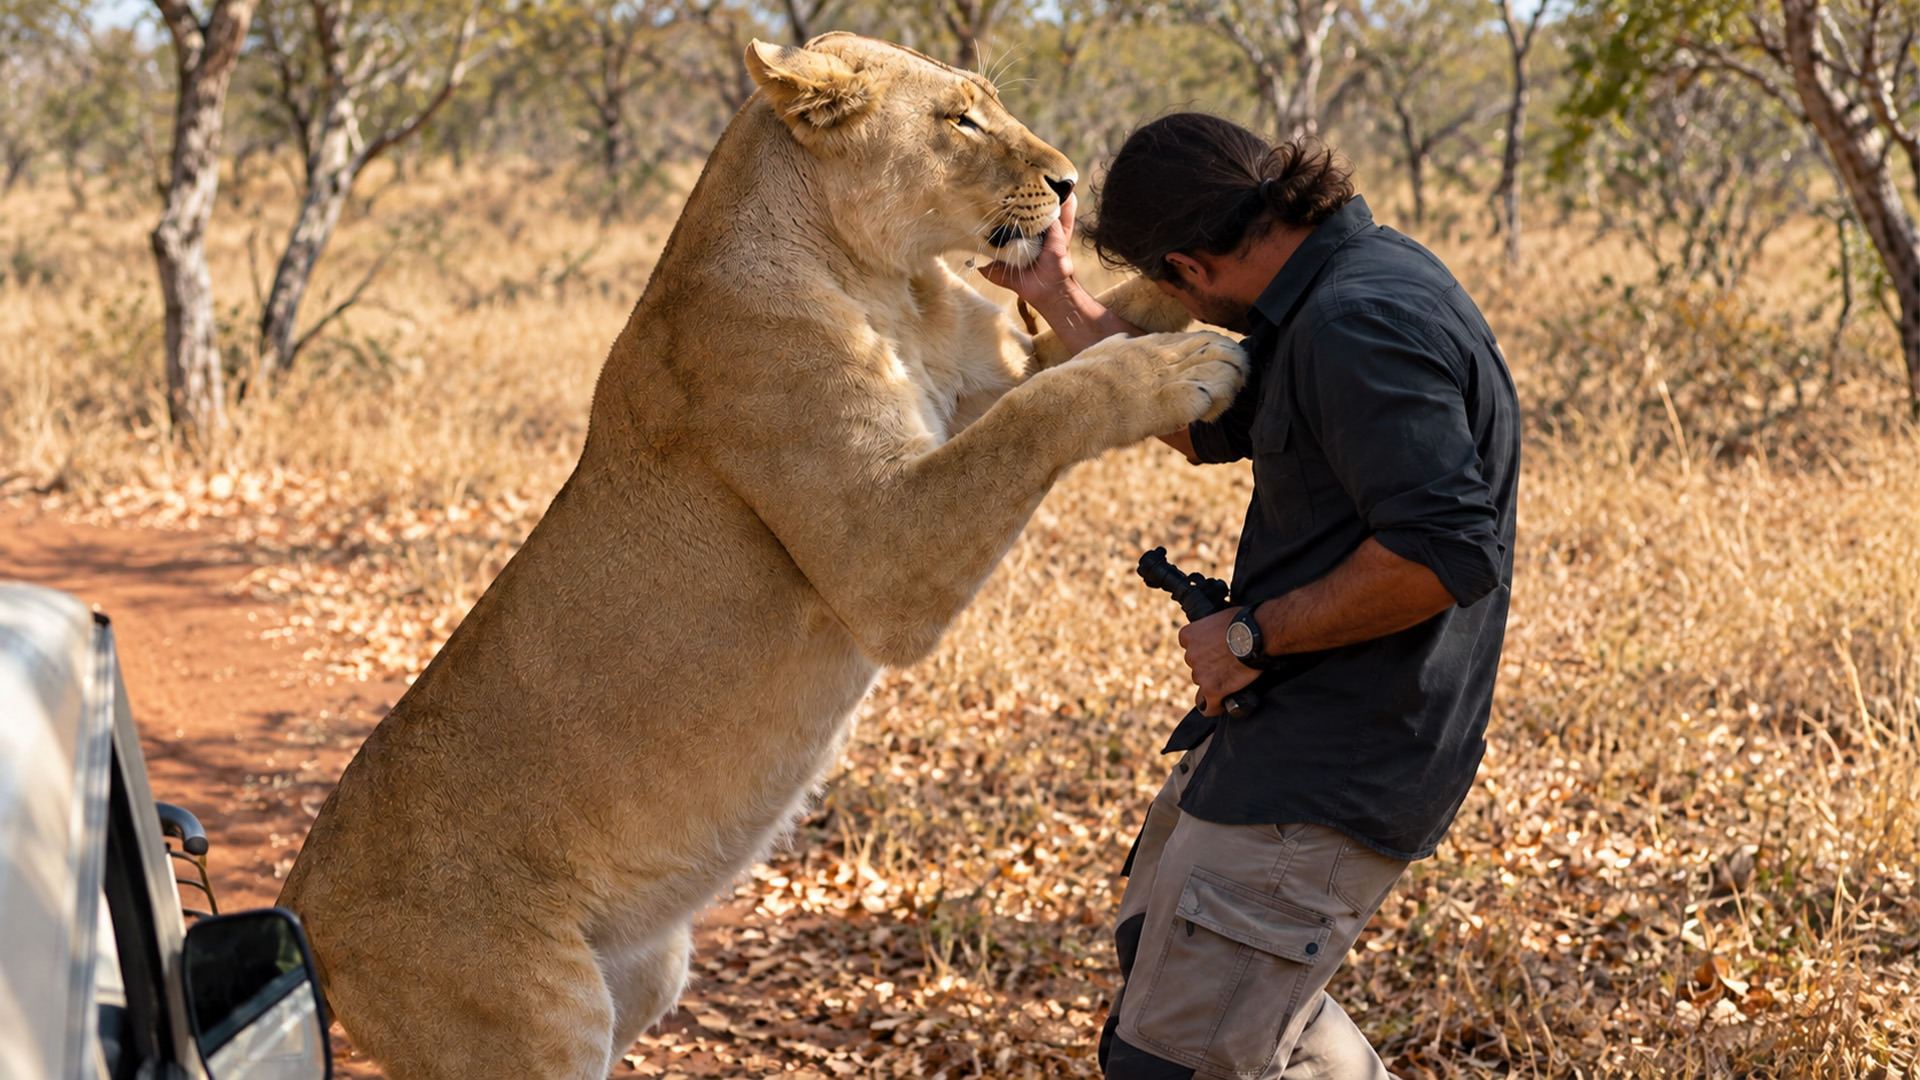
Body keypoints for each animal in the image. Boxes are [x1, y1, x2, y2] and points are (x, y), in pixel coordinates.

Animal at [279, 32, 1246, 1080]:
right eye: (960, 118)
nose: (1070, 184)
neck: (887, 281)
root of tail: (299, 903)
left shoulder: (991, 373)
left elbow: (1109, 318)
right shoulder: (885, 551)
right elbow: (1053, 406)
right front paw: (1190, 364)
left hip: (642, 976)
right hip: (531, 1020)